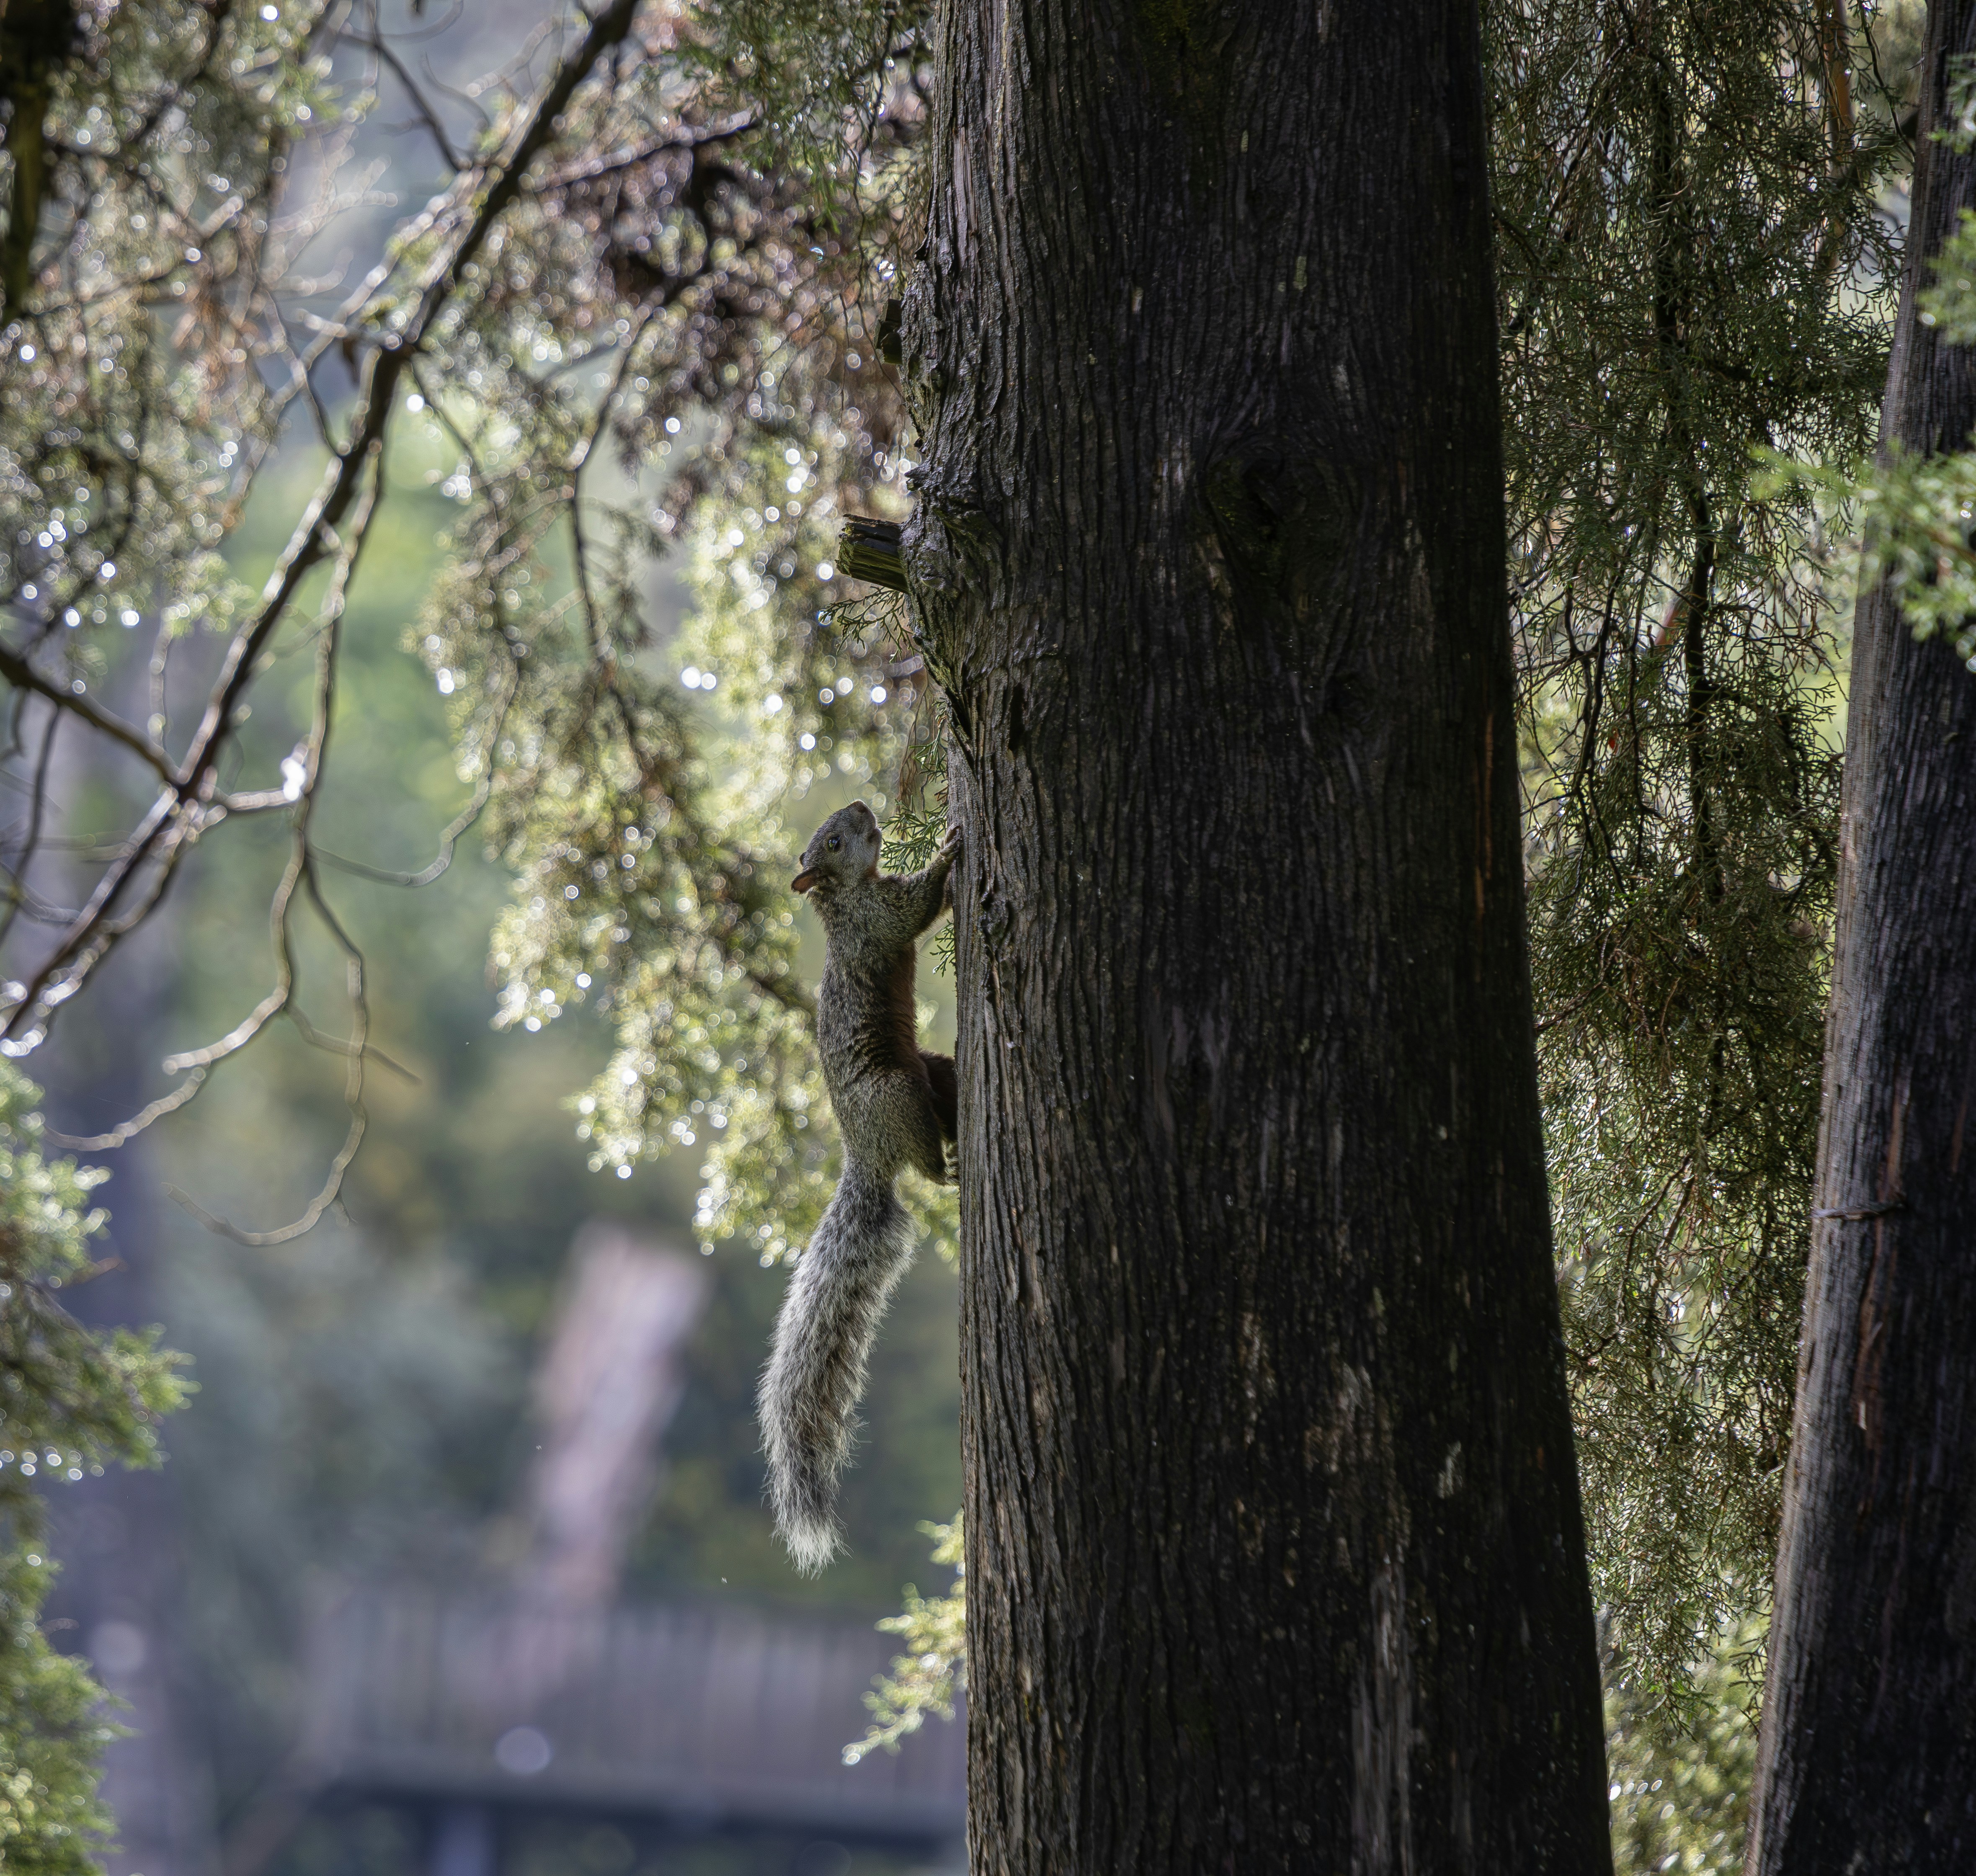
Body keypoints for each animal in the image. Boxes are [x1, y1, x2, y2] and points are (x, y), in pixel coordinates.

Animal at [759, 799, 961, 1572]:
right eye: (839, 841)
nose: (865, 806)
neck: (843, 900)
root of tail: (867, 1157)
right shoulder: (881, 918)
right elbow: (918, 908)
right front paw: (949, 846)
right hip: (895, 1093)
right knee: (923, 1164)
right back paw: (945, 1168)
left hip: (929, 1069)